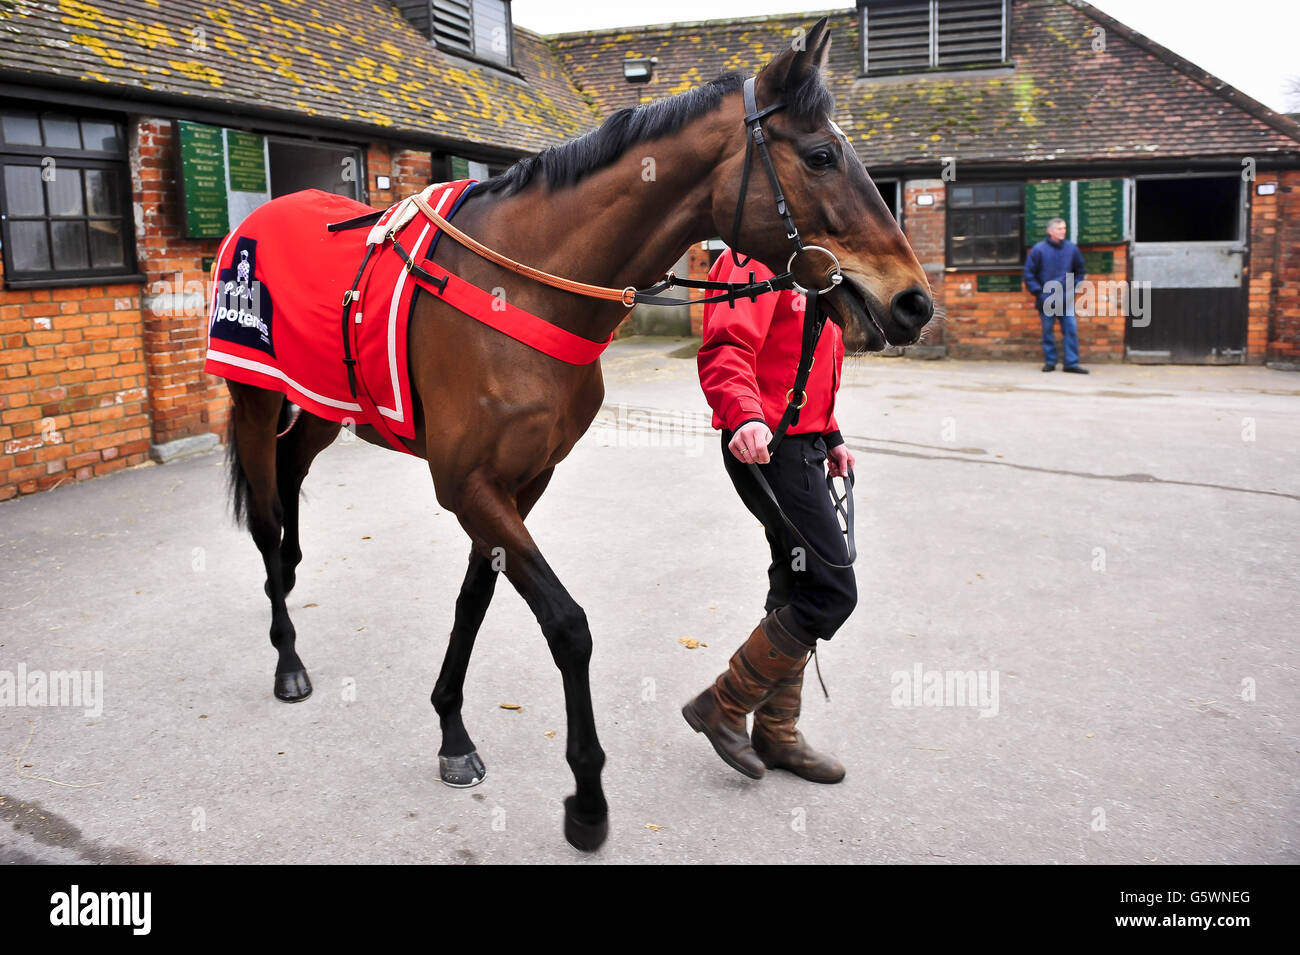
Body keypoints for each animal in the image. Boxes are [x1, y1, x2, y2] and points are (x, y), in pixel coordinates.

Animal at [218, 18, 933, 852]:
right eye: (820, 155)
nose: (914, 301)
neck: (521, 284)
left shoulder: (522, 481)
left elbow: (474, 598)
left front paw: (452, 730)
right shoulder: (466, 485)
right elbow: (568, 625)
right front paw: (587, 798)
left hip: (325, 408)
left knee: (291, 483)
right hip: (255, 399)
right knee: (267, 518)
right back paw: (287, 658)